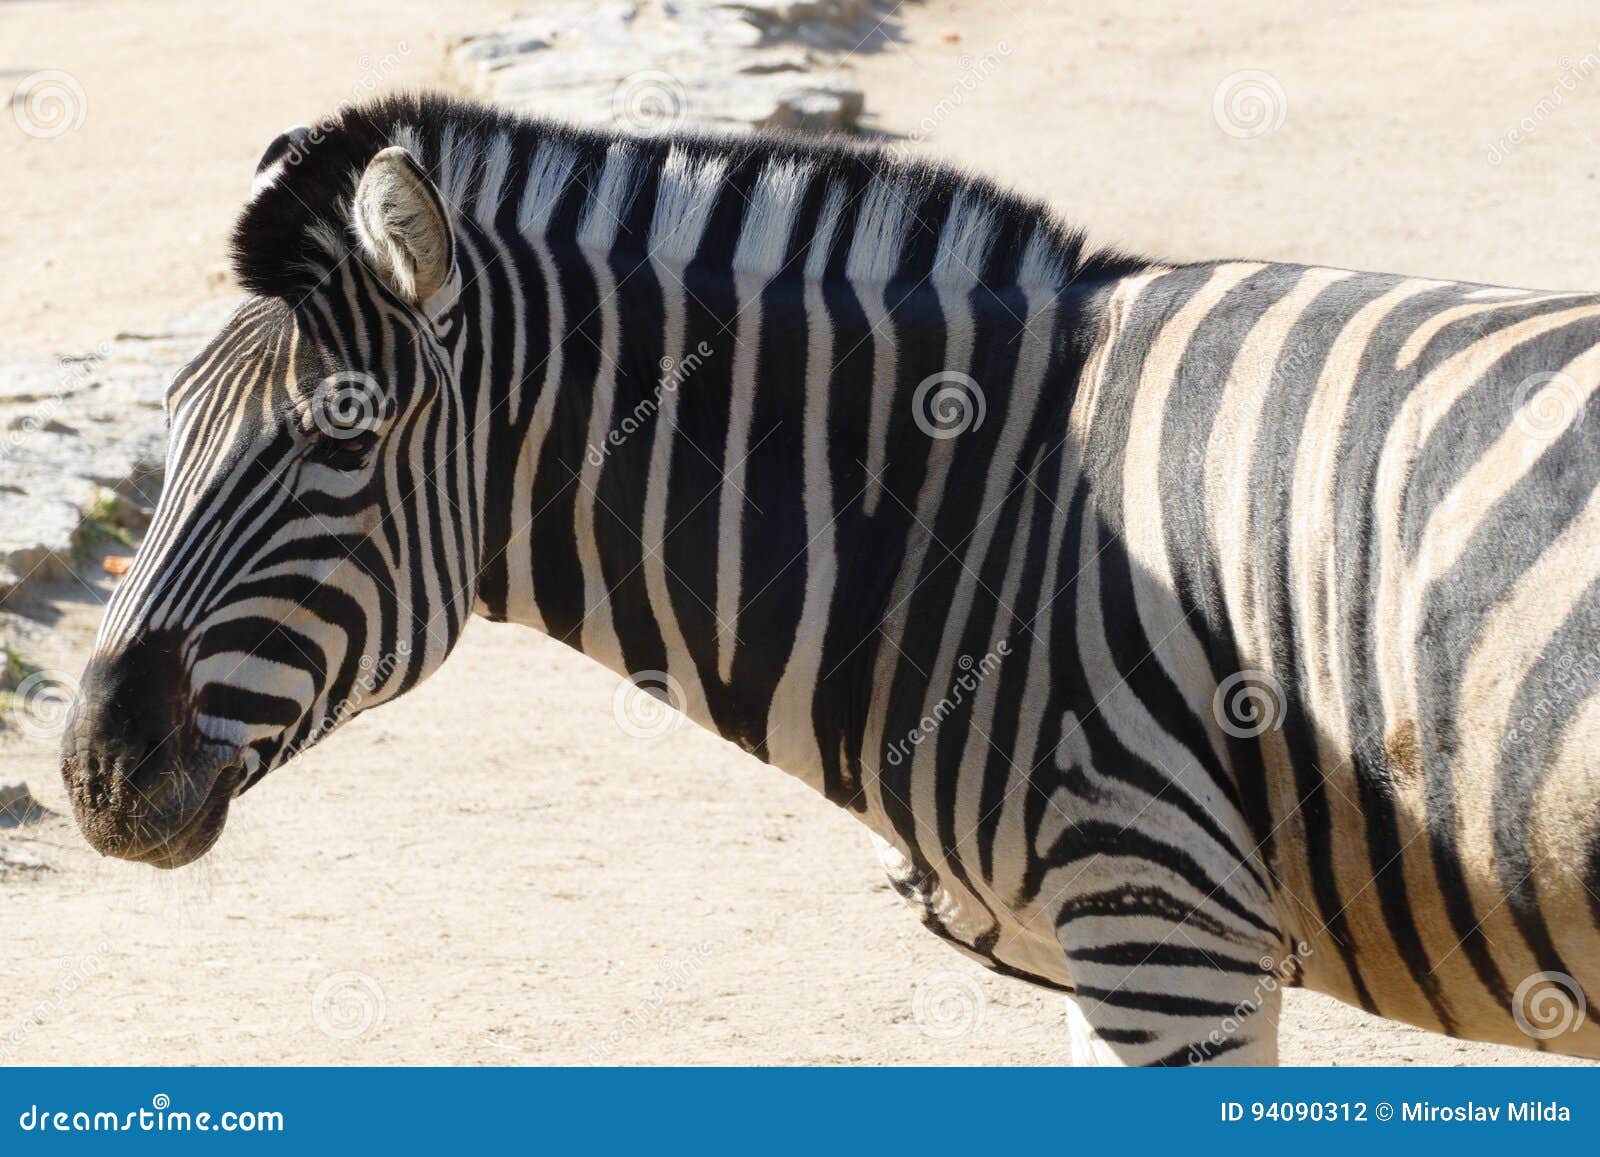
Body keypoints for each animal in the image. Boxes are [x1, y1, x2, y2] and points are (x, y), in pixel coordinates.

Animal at [61, 94, 1600, 1065]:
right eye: (169, 427)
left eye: (340, 440)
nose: (88, 769)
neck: (983, 510)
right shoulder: (1144, 953)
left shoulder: (1167, 934)